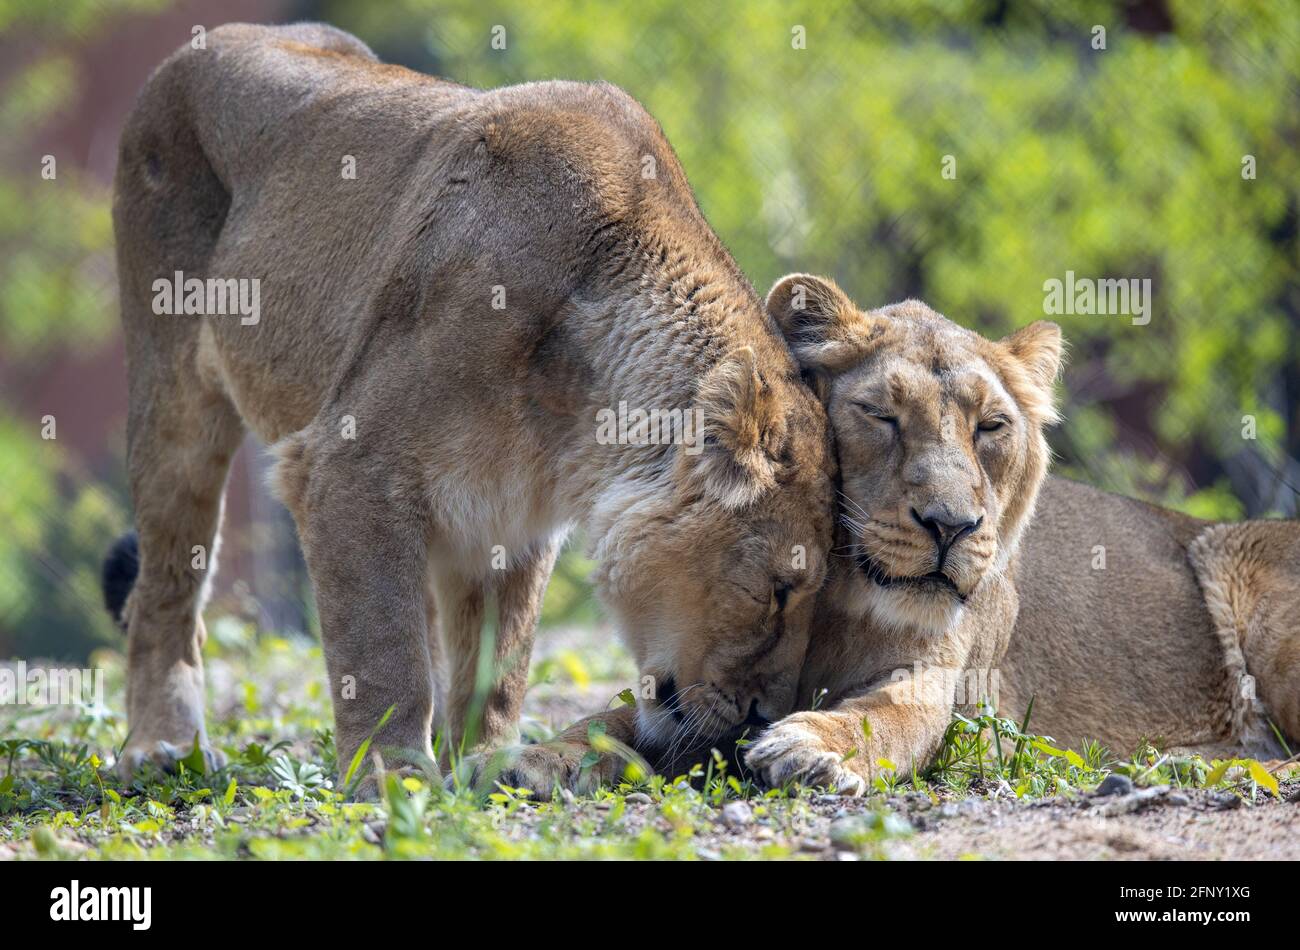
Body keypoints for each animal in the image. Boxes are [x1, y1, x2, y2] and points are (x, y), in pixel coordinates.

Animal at [102, 23, 835, 786]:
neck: (572, 414)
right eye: (781, 590)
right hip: (173, 393)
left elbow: (499, 656)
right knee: (165, 587)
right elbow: (382, 648)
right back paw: (162, 743)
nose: (762, 716)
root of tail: (213, 36)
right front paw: (391, 774)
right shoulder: (350, 466)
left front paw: (483, 760)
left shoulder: (509, 516)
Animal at [490, 275, 1299, 795]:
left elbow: (883, 720)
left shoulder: (939, 683)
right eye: (881, 415)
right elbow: (621, 714)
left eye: (991, 427)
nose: (951, 524)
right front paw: (547, 754)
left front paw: (811, 746)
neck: (840, 605)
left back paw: (1191, 766)